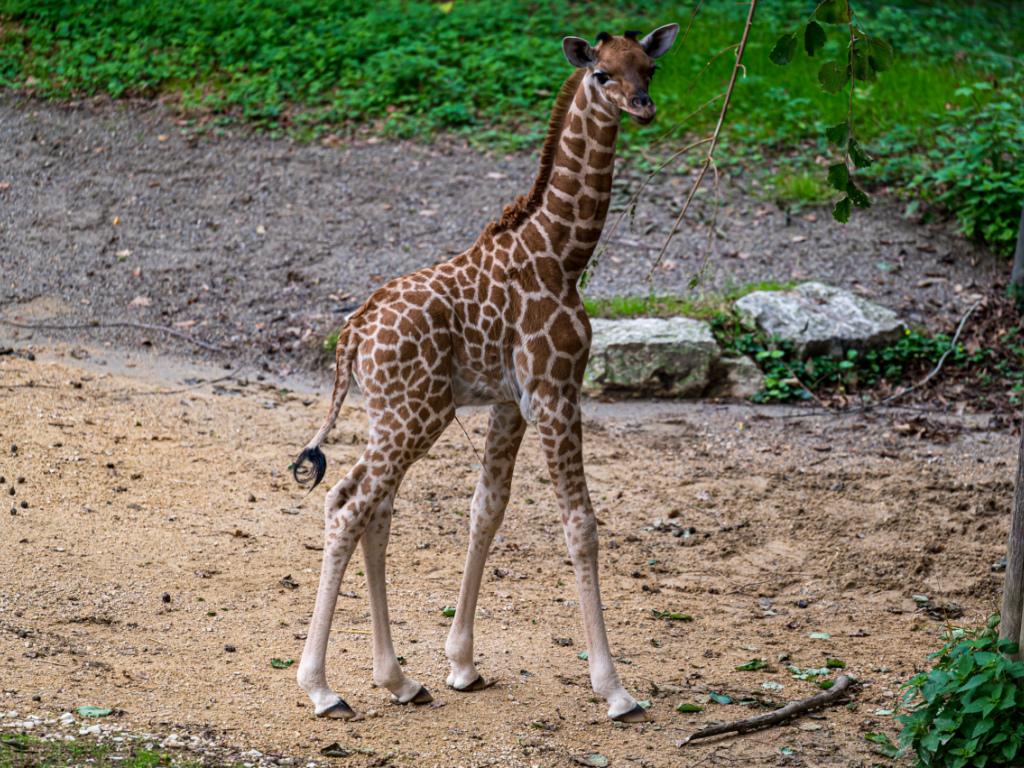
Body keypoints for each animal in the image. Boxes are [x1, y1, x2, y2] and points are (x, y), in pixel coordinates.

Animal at [291, 23, 680, 724]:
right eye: (601, 74)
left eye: (650, 68)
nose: (643, 107)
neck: (564, 252)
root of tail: (351, 338)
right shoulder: (556, 390)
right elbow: (581, 526)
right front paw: (613, 688)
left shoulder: (510, 401)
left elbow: (487, 509)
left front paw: (461, 664)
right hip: (415, 416)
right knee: (350, 506)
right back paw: (321, 688)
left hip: (395, 415)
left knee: (366, 507)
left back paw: (398, 679)